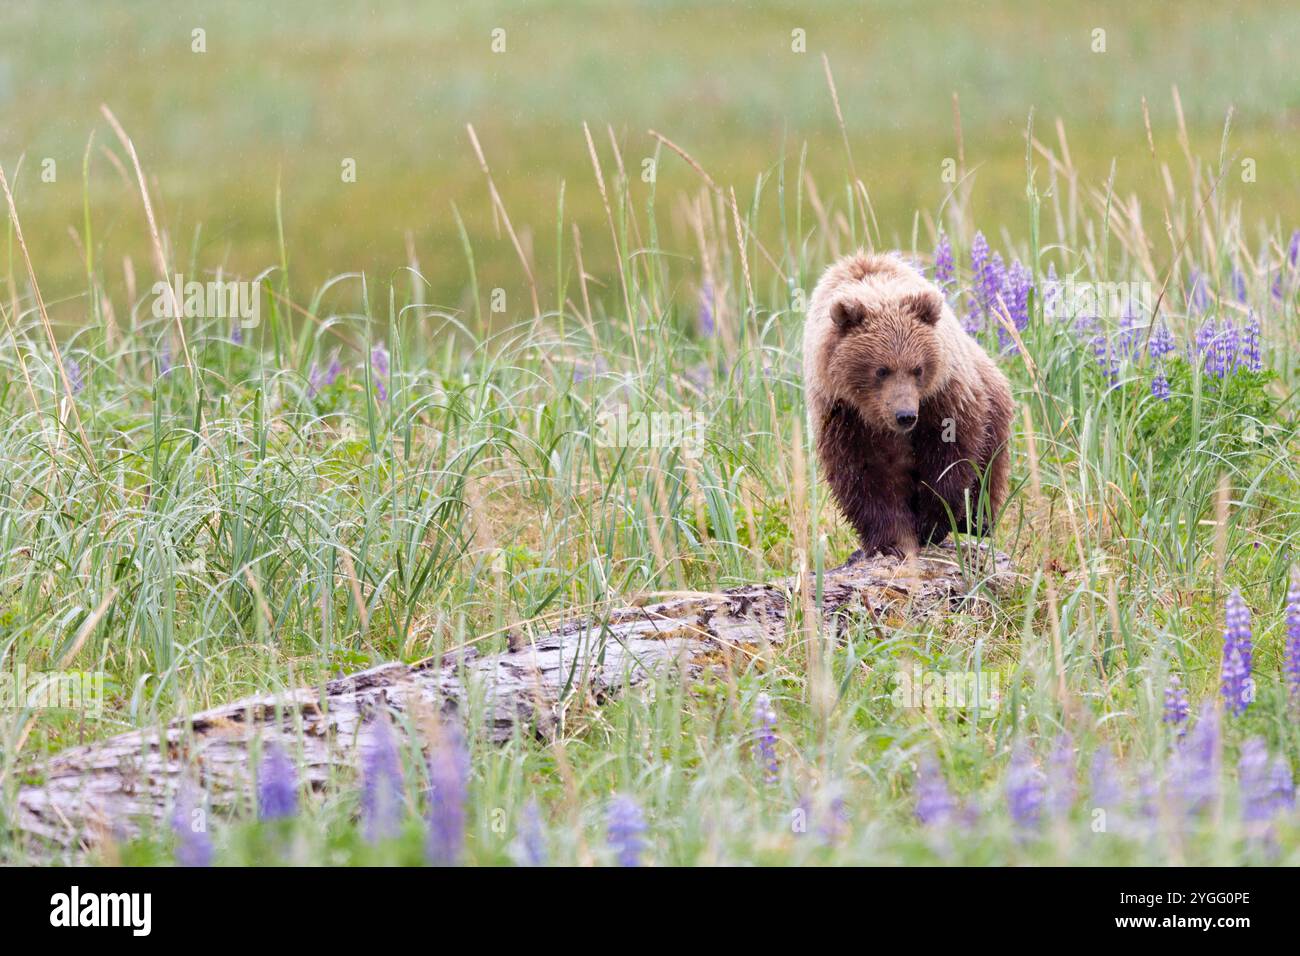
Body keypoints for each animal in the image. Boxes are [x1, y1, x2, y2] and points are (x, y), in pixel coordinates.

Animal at [802, 251, 1013, 559]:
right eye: (881, 370)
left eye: (918, 369)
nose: (905, 415)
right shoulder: (843, 414)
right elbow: (862, 475)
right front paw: (891, 540)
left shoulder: (943, 397)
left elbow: (949, 458)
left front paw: (930, 524)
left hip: (994, 404)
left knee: (988, 471)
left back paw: (976, 522)